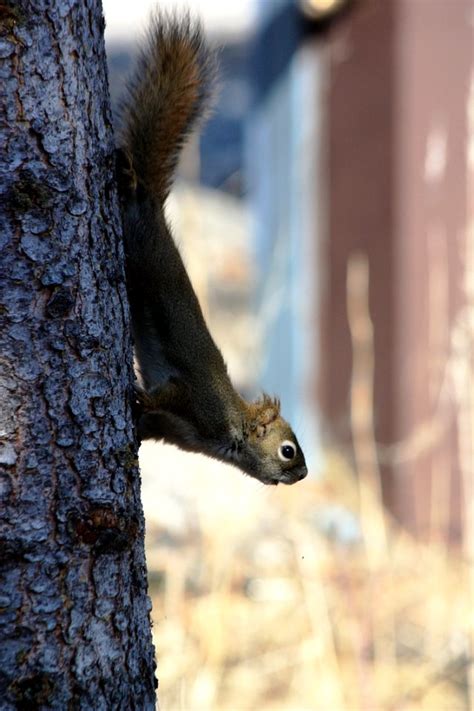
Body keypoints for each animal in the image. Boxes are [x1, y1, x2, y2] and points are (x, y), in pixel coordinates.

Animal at [116, 14, 307, 486]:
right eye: (288, 450)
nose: (303, 474)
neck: (232, 429)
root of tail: (151, 206)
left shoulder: (171, 430)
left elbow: (151, 422)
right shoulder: (196, 401)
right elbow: (166, 393)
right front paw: (142, 397)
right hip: (144, 258)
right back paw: (127, 177)